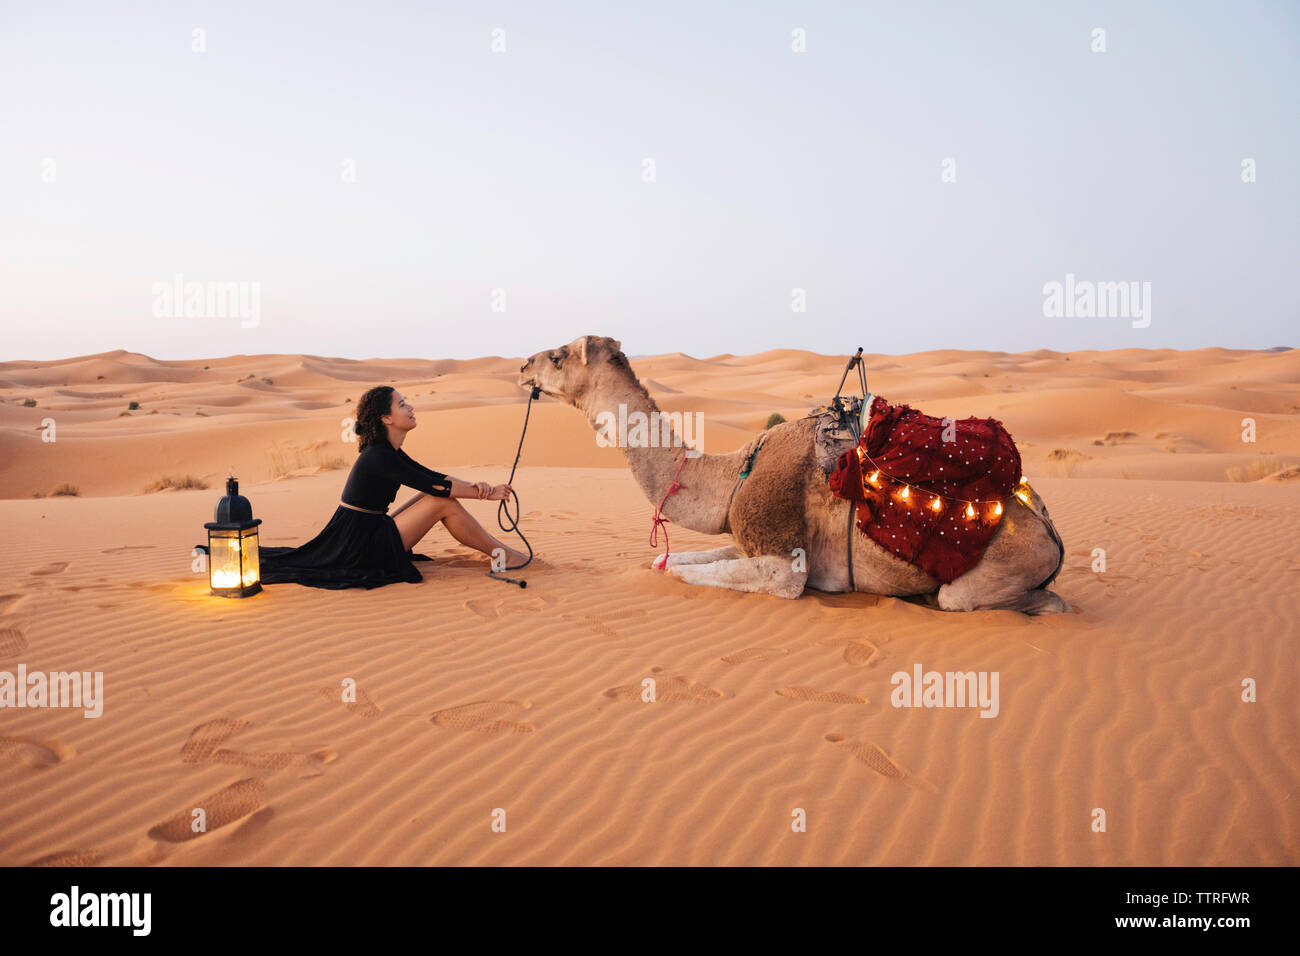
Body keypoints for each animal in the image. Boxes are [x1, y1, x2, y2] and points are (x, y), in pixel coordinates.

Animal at [518, 335, 1068, 614]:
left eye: (557, 357)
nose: (522, 366)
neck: (732, 475)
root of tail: (1051, 532)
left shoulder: (785, 559)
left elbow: (682, 569)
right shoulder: (749, 539)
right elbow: (674, 560)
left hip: (1005, 565)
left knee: (982, 598)